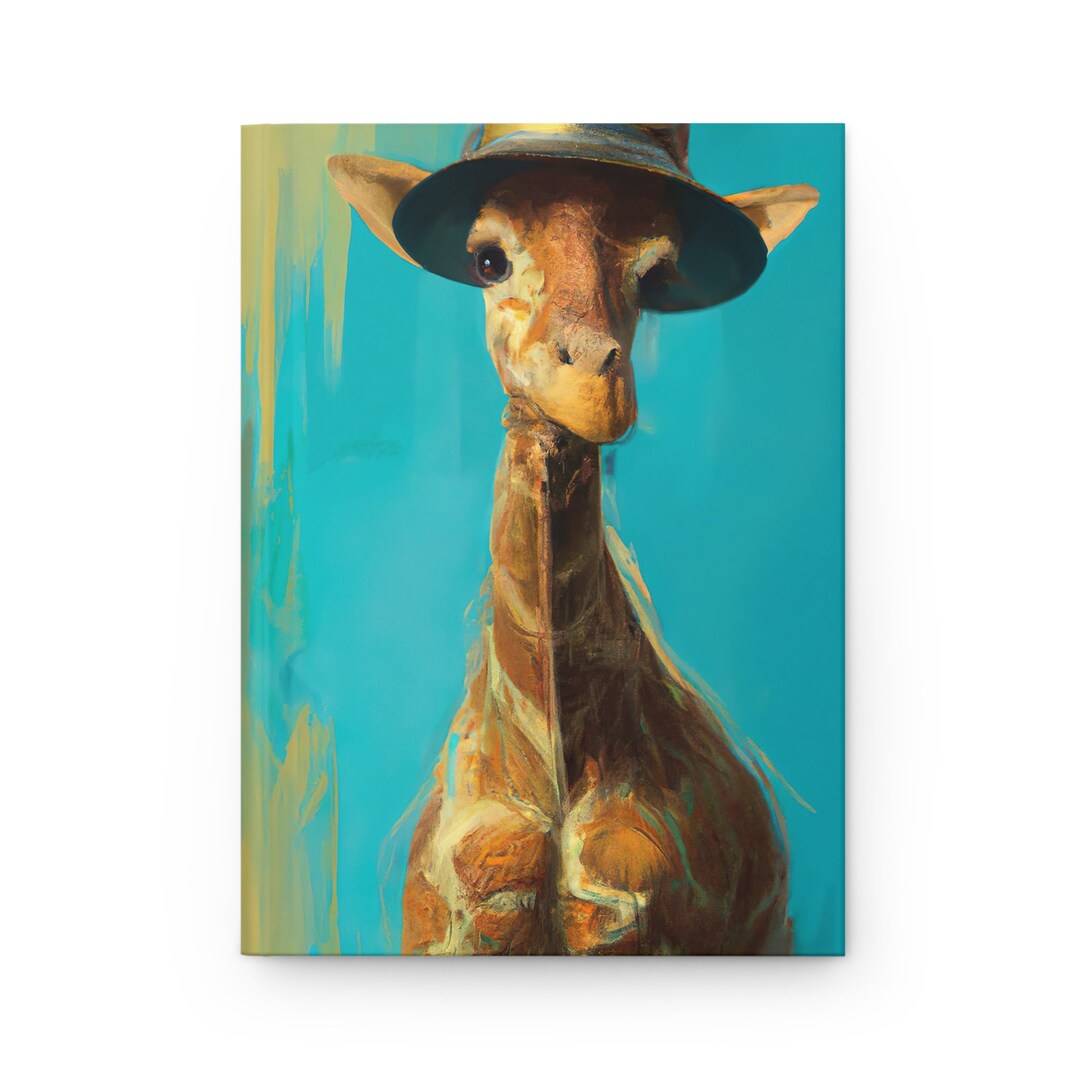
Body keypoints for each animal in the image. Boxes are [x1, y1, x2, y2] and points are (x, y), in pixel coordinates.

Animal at [328, 125, 818, 954]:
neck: (557, 773)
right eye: (487, 260)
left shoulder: (632, 923)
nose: (593, 388)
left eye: (658, 275)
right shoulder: (470, 926)